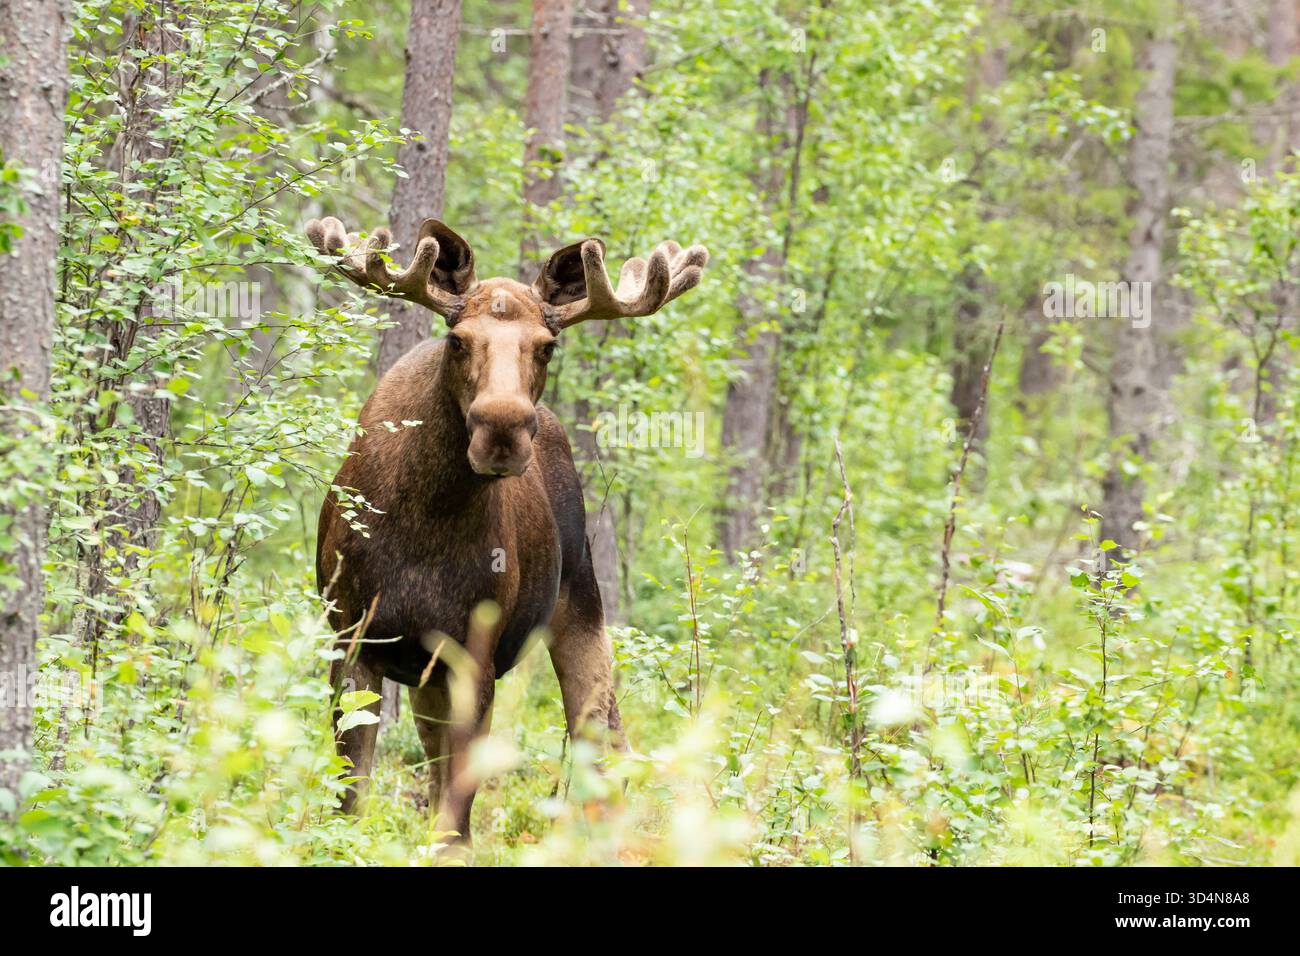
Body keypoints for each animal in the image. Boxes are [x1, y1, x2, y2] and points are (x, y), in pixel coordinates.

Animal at [304, 214, 708, 843]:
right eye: (457, 339)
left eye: (547, 346)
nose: (502, 428)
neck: (426, 524)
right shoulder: (353, 637)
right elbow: (353, 798)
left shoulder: (477, 654)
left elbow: (456, 820)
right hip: (429, 678)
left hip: (582, 606)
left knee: (605, 744)